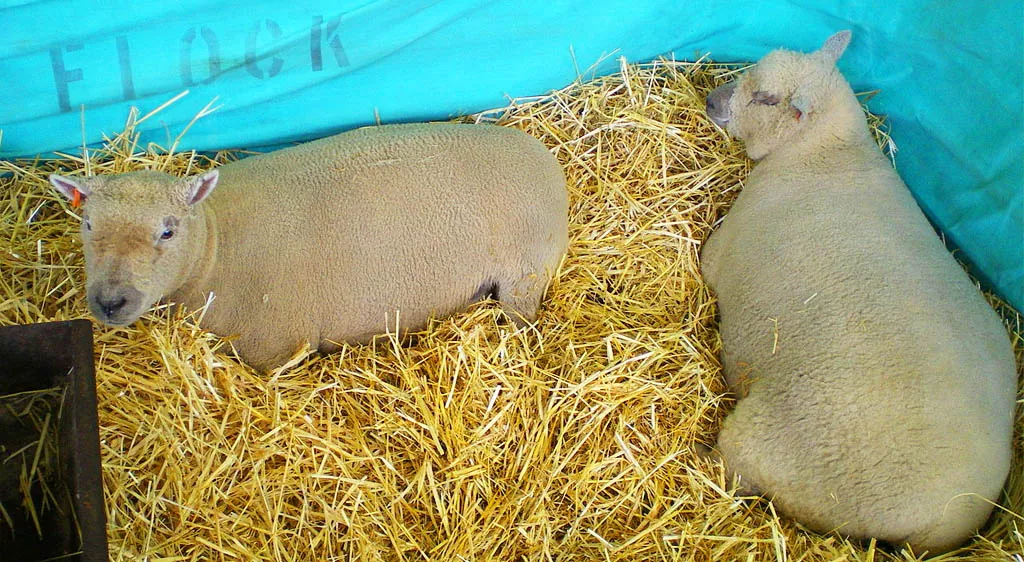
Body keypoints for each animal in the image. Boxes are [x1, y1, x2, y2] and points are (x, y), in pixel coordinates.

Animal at [50, 123, 569, 370]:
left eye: (168, 231)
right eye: (88, 223)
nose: (110, 302)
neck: (217, 247)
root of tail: (545, 157)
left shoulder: (278, 348)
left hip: (525, 275)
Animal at [700, 31, 1018, 554]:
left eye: (765, 97)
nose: (711, 100)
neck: (826, 152)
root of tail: (944, 525)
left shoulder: (718, 253)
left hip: (779, 445)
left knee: (733, 466)